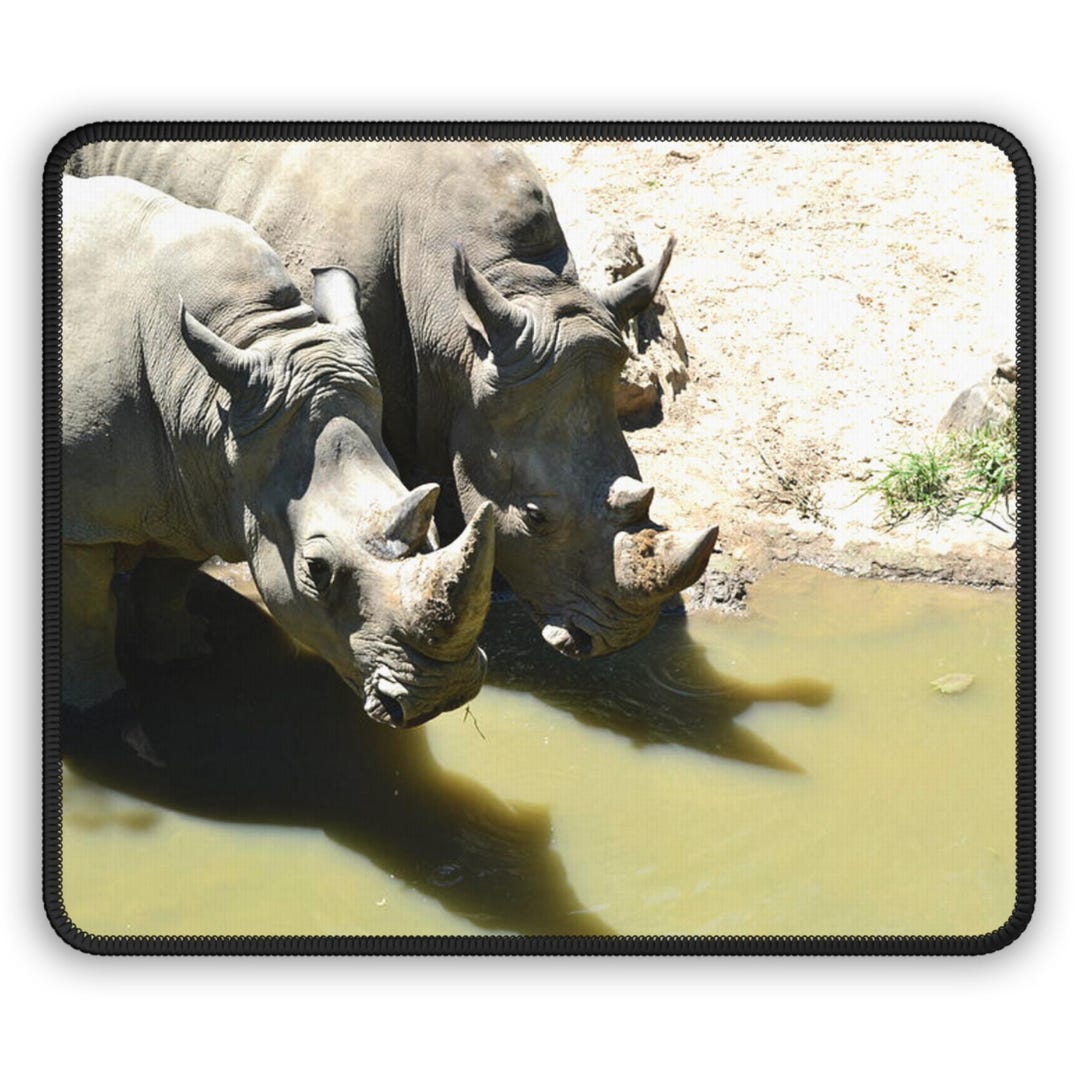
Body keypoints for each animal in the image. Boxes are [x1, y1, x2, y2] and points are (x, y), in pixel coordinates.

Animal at [60, 175, 495, 726]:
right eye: (316, 569)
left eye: (435, 529)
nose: (442, 696)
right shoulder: (81, 520)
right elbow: (85, 615)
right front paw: (101, 708)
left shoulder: (196, 486)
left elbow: (168, 577)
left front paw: (185, 655)